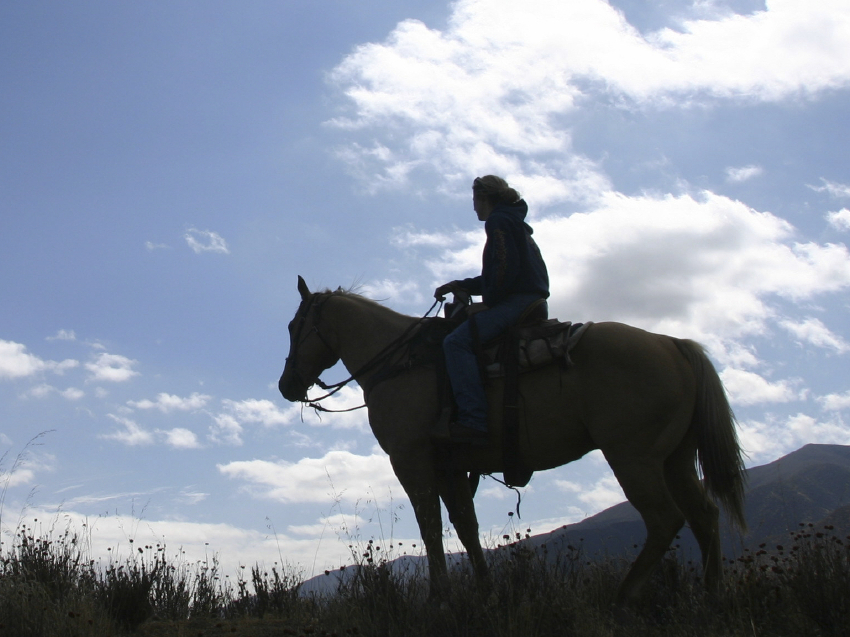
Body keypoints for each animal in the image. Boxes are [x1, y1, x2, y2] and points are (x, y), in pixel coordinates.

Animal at [278, 276, 747, 608]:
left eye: (293, 326)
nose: (287, 385)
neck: (399, 361)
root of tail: (673, 344)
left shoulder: (412, 460)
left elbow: (429, 526)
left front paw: (439, 599)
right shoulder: (451, 466)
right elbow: (465, 527)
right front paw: (485, 593)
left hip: (634, 458)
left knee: (665, 518)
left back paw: (625, 596)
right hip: (675, 459)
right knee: (703, 514)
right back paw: (712, 595)